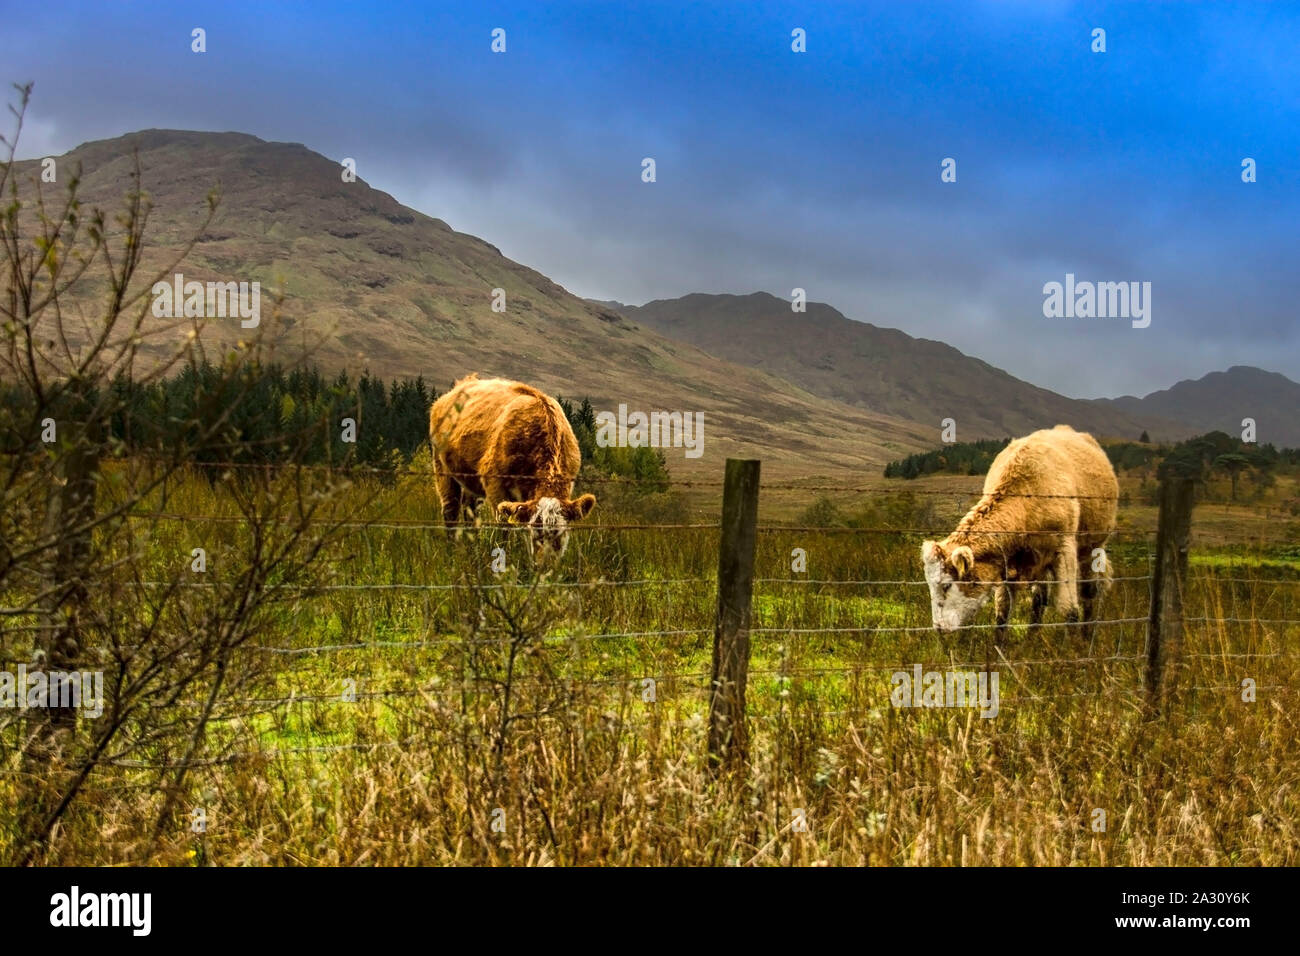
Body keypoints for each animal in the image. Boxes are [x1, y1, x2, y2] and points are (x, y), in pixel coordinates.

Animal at [429, 374, 596, 561]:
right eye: (535, 533)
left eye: (561, 534)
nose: (546, 563)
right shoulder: (495, 484)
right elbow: (504, 527)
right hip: (442, 467)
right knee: (451, 509)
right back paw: (452, 551)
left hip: (470, 480)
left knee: (470, 512)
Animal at [920, 425, 1118, 639]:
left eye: (946, 584)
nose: (939, 627)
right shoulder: (1007, 561)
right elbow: (1003, 611)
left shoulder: (1065, 551)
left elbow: (1069, 609)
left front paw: (1072, 647)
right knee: (1040, 598)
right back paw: (1032, 638)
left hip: (1093, 548)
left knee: (1089, 592)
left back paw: (1087, 635)